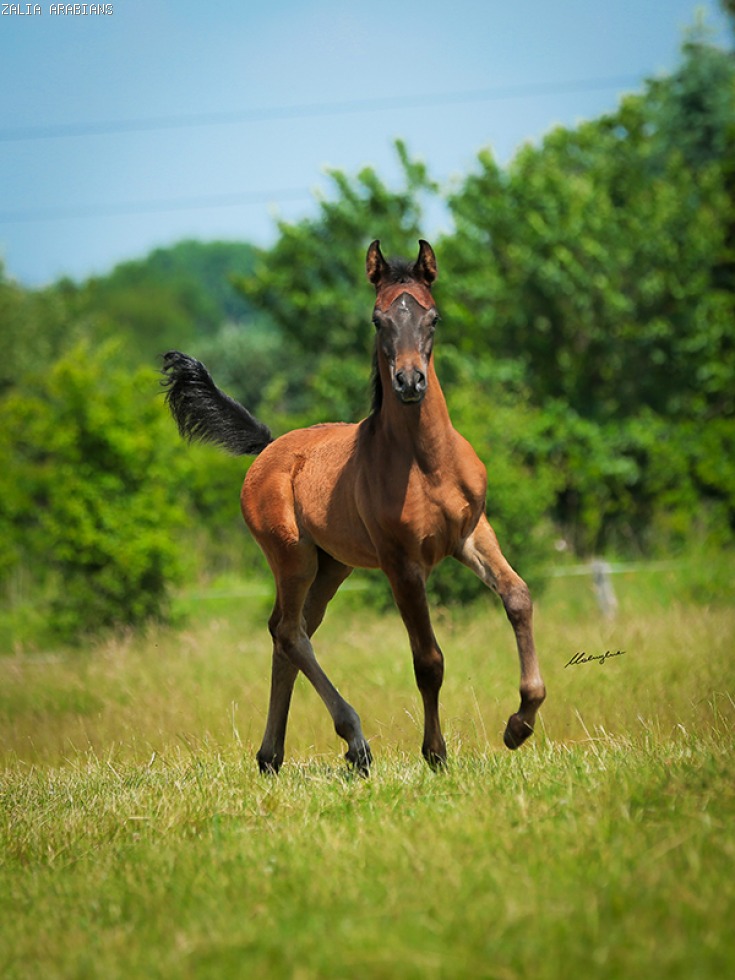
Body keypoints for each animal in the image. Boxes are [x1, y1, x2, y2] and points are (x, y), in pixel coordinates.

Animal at [162, 240, 545, 774]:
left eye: (433, 317)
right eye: (378, 319)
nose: (410, 382)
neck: (426, 463)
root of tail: (269, 448)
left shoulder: (472, 533)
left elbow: (517, 598)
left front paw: (519, 724)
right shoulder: (401, 563)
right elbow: (428, 660)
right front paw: (435, 753)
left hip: (332, 567)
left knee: (289, 632)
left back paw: (272, 755)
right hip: (293, 559)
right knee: (289, 632)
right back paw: (355, 741)